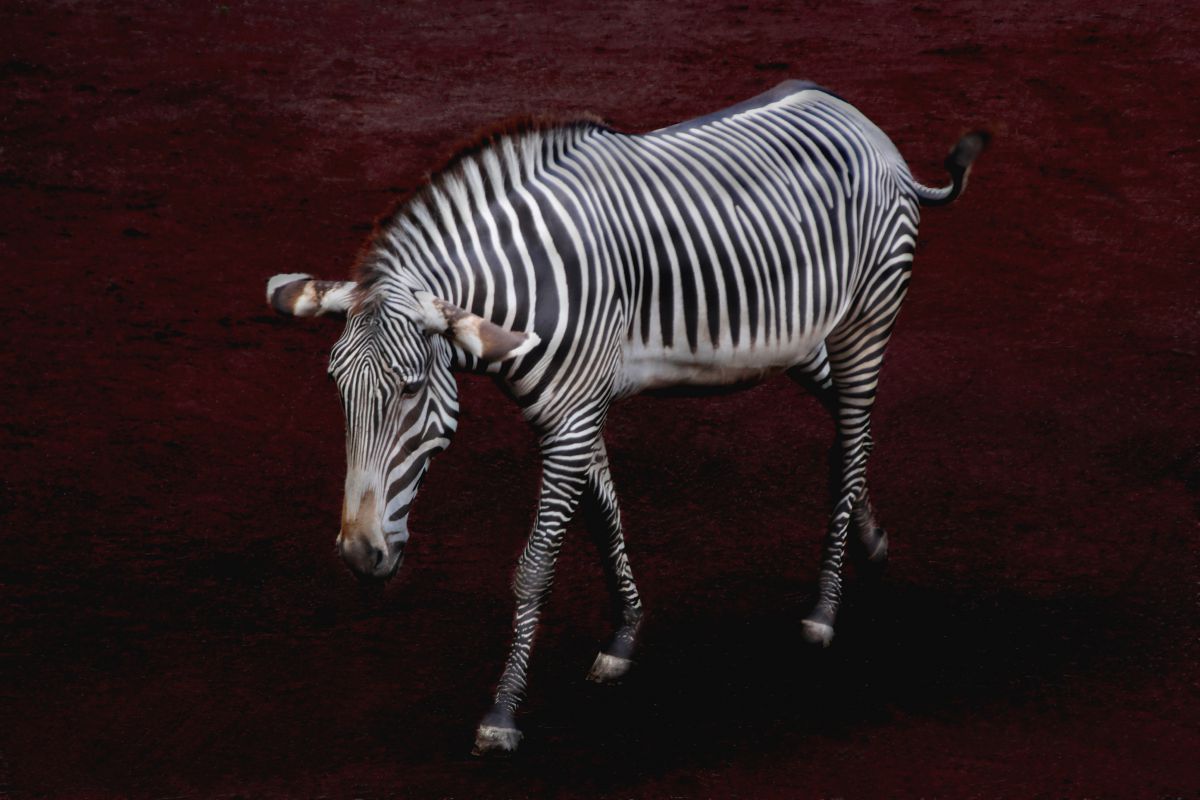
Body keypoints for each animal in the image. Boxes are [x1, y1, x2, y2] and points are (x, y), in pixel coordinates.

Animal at [265, 80, 986, 755]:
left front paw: (501, 714)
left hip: (866, 318)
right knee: (848, 429)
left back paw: (826, 609)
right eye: (335, 389)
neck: (526, 289)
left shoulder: (568, 422)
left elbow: (535, 567)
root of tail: (864, 124)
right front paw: (624, 637)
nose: (359, 556)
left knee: (854, 430)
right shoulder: (576, 411)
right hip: (800, 336)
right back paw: (869, 539)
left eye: (410, 392)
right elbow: (604, 515)